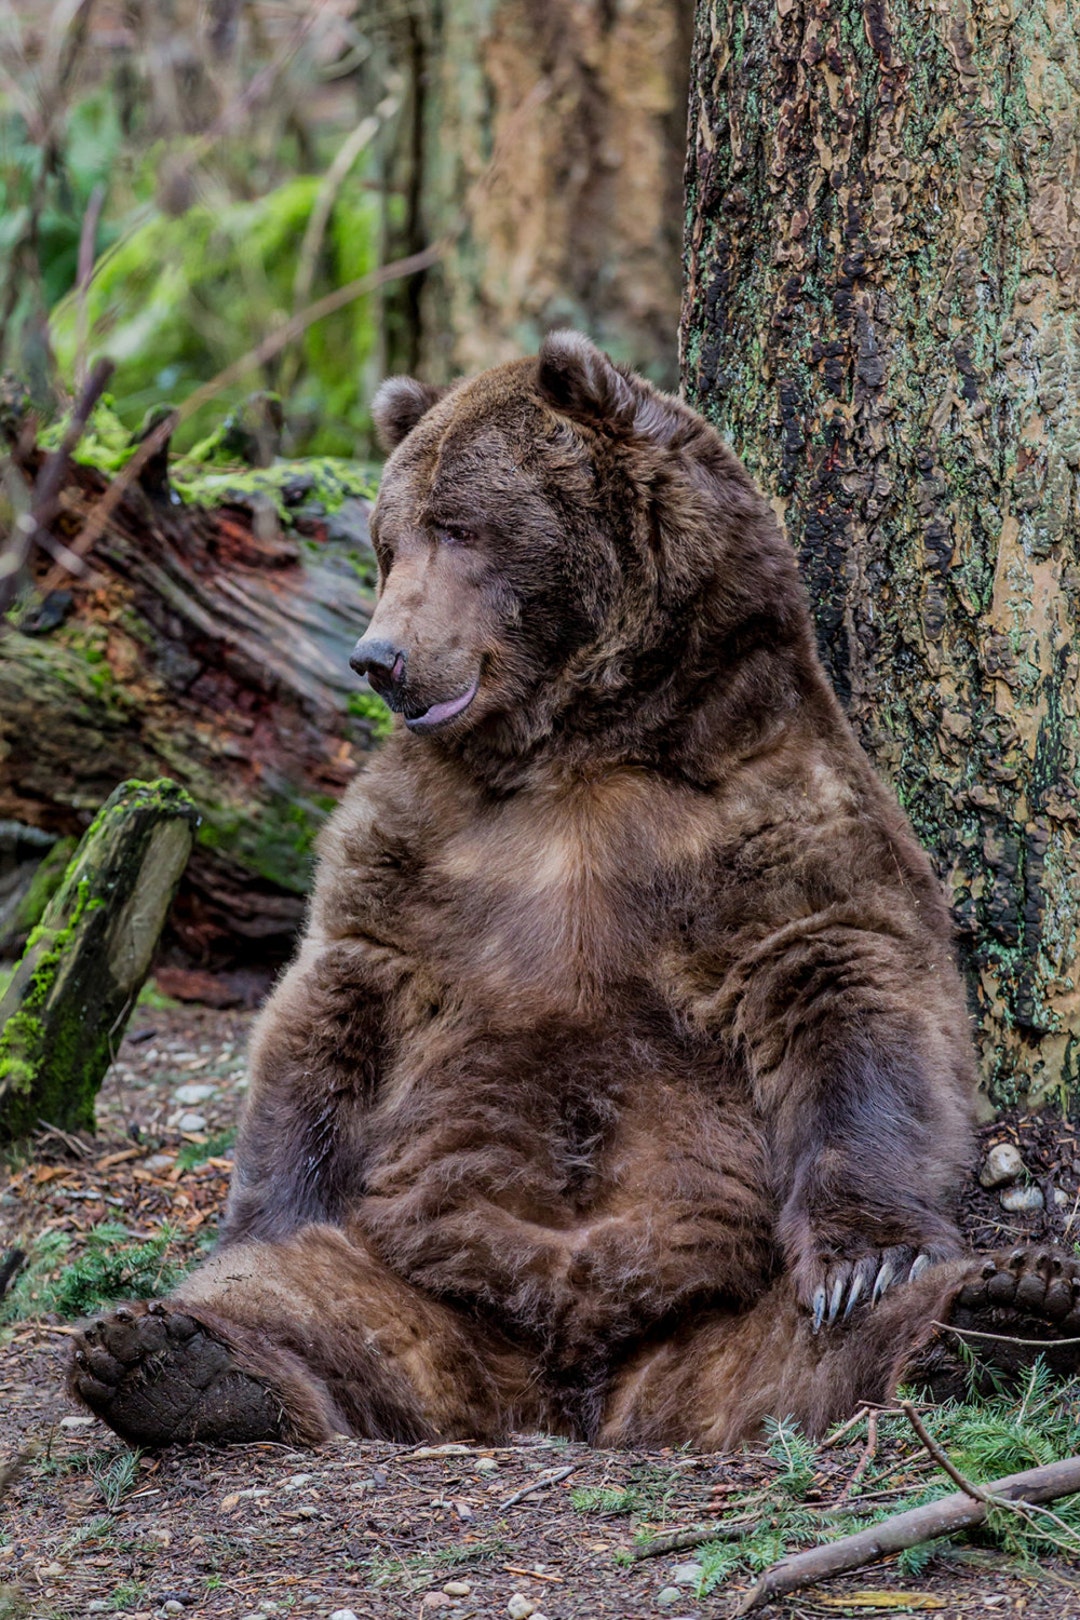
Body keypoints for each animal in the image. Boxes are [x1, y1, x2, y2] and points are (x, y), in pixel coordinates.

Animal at [70, 332, 1080, 1450]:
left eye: (459, 526)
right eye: (389, 540)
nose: (378, 657)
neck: (578, 751)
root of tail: (567, 1386)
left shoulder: (764, 808)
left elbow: (849, 978)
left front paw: (870, 1258)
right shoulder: (423, 845)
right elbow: (337, 1002)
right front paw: (258, 1221)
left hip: (733, 1311)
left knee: (845, 1341)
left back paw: (1002, 1313)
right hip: (404, 1277)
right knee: (296, 1303)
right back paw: (175, 1362)